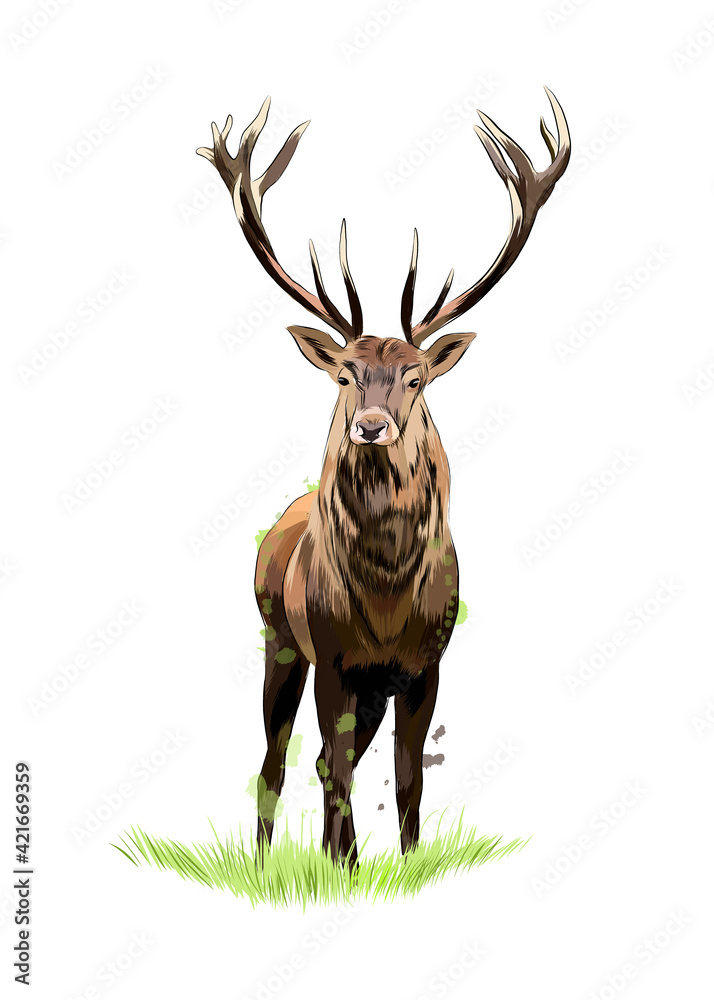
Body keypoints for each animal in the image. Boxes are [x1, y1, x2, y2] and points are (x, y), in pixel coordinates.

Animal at [197, 89, 570, 868]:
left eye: (417, 375)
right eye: (345, 372)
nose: (371, 425)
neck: (387, 596)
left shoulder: (425, 663)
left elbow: (406, 774)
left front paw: (403, 862)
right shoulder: (333, 656)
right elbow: (336, 766)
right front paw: (343, 867)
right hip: (277, 635)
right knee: (277, 759)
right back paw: (267, 858)